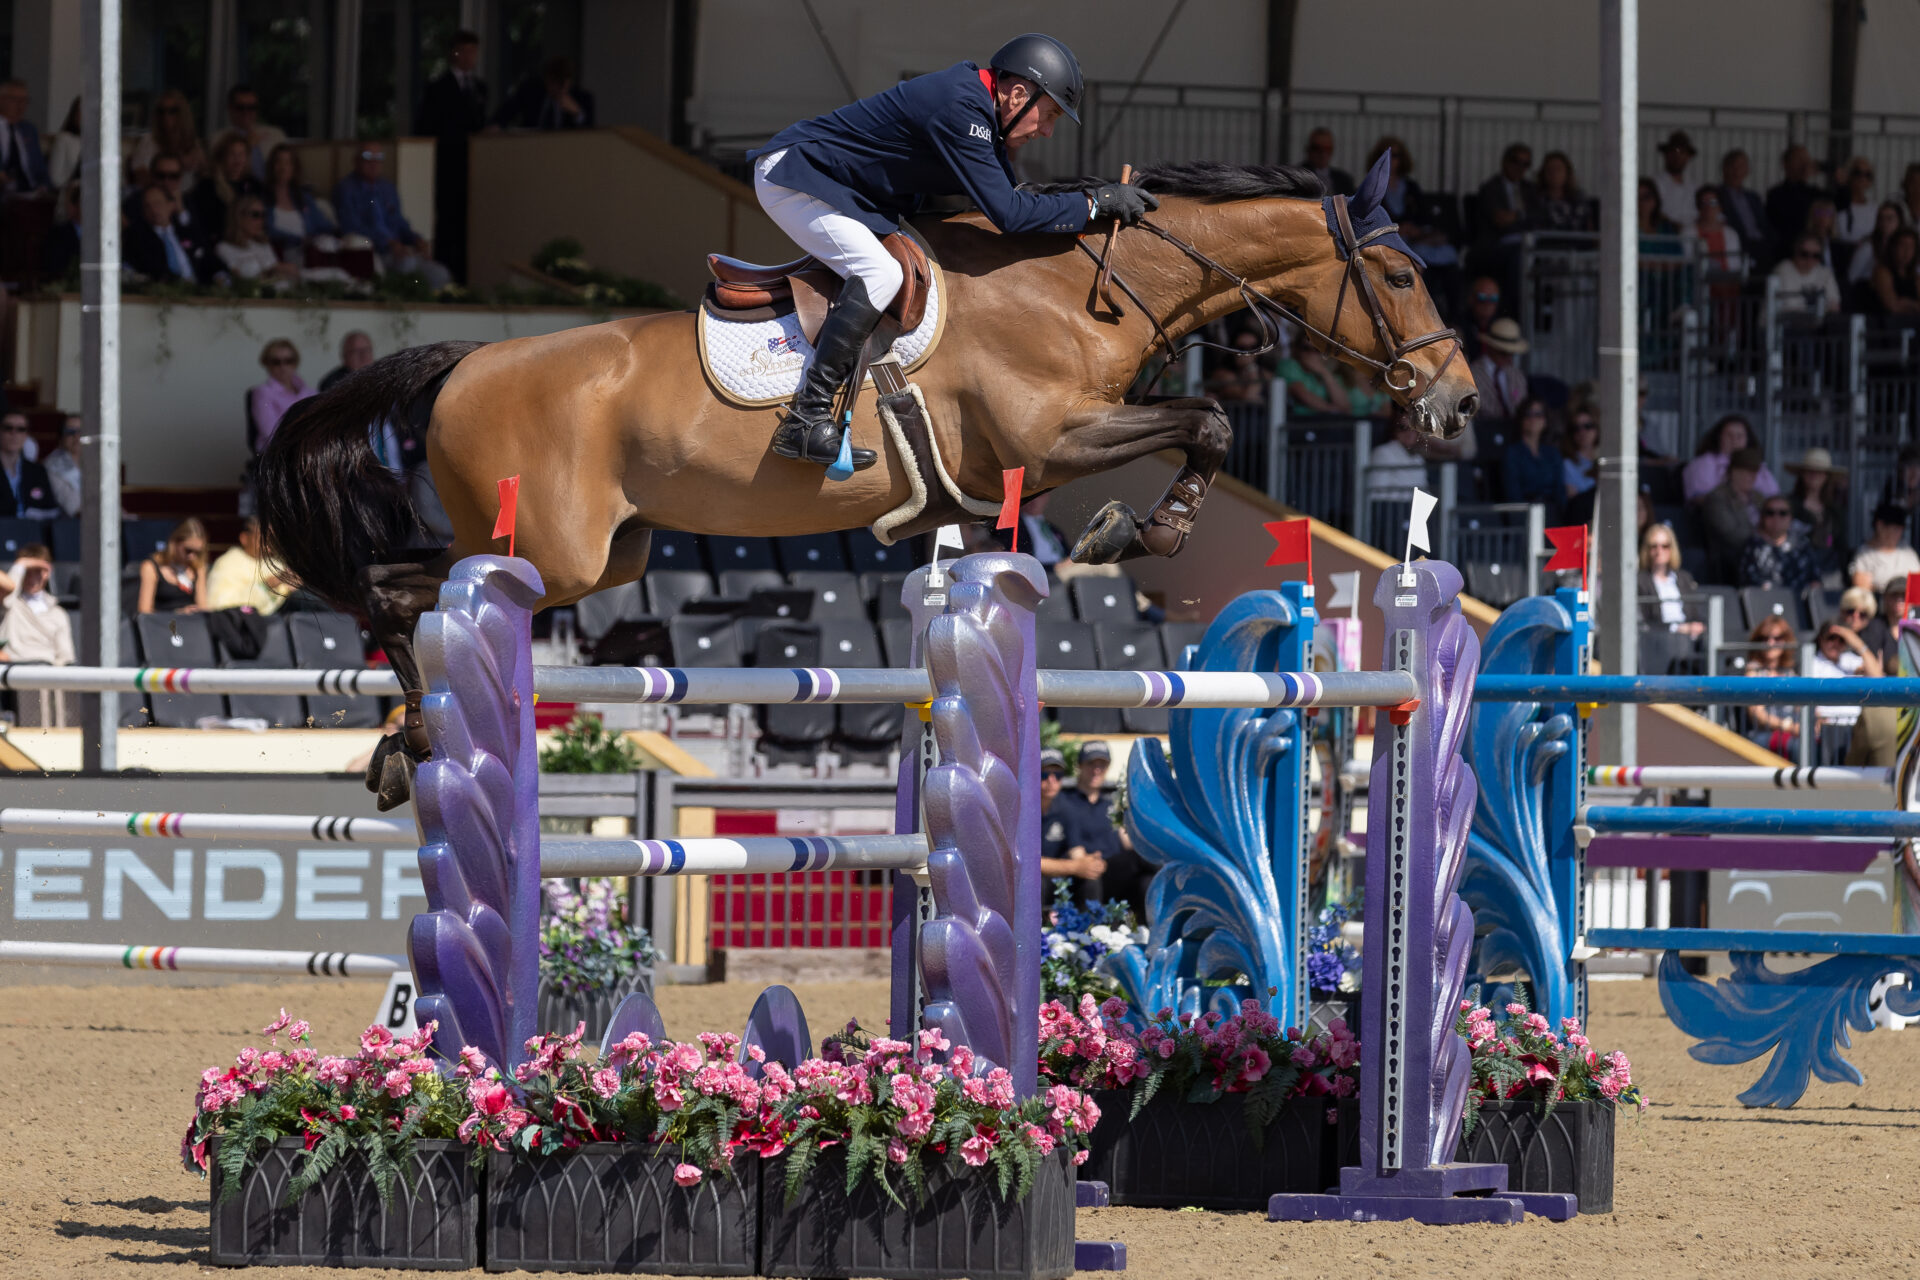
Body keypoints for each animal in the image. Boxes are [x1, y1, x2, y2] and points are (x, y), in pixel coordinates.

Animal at [259, 152, 1474, 805]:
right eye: (1400, 273)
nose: (1458, 404)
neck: (1083, 289)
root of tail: (464, 359)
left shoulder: (1022, 473)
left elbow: (1190, 430)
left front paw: (1132, 531)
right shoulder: (1058, 437)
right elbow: (1209, 420)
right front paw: (1140, 530)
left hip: (604, 552)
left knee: (404, 589)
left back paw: (405, 742)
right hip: (543, 554)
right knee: (396, 590)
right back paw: (413, 740)